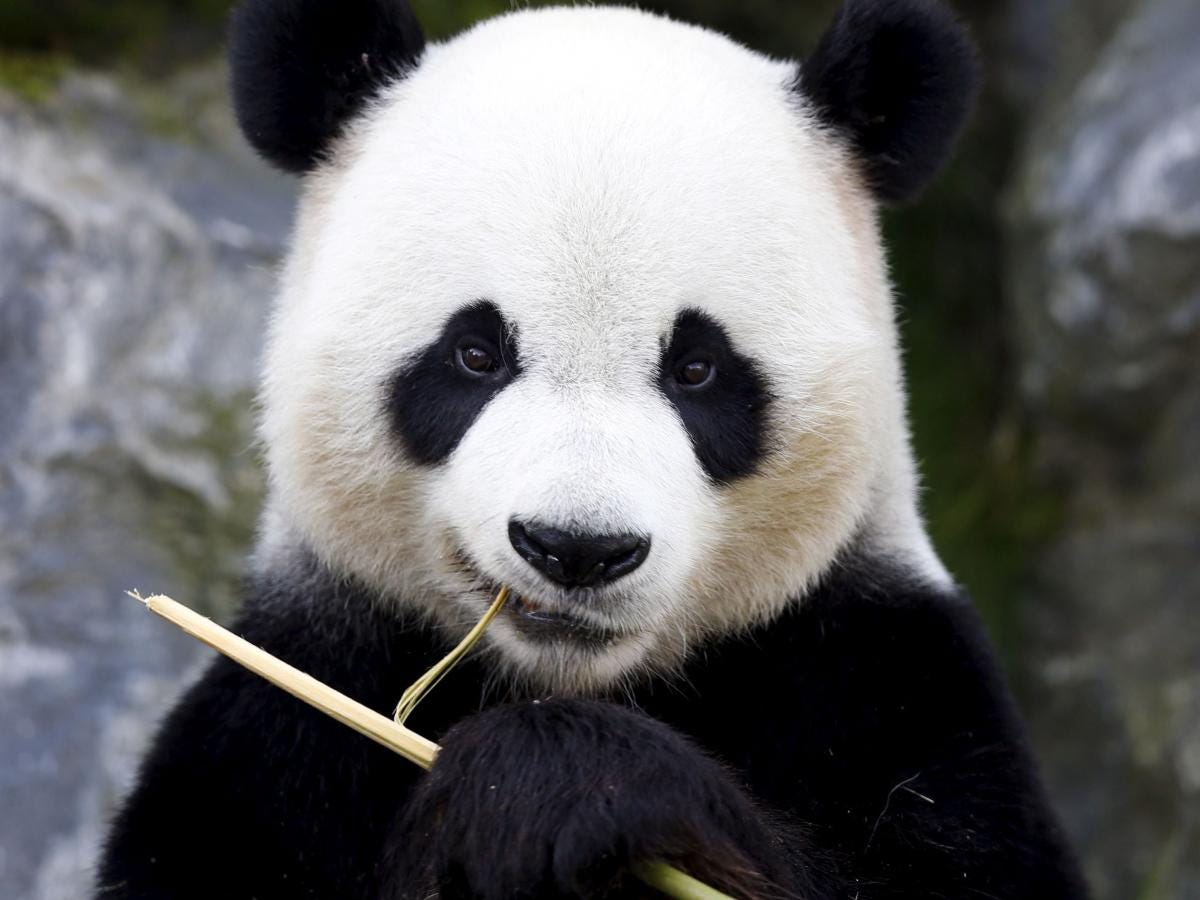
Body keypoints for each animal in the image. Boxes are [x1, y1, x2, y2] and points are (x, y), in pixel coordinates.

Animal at [97, 0, 1090, 897]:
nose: (576, 548)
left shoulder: (884, 674)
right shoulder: (286, 708)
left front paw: (555, 787)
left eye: (698, 368)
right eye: (475, 353)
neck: (566, 680)